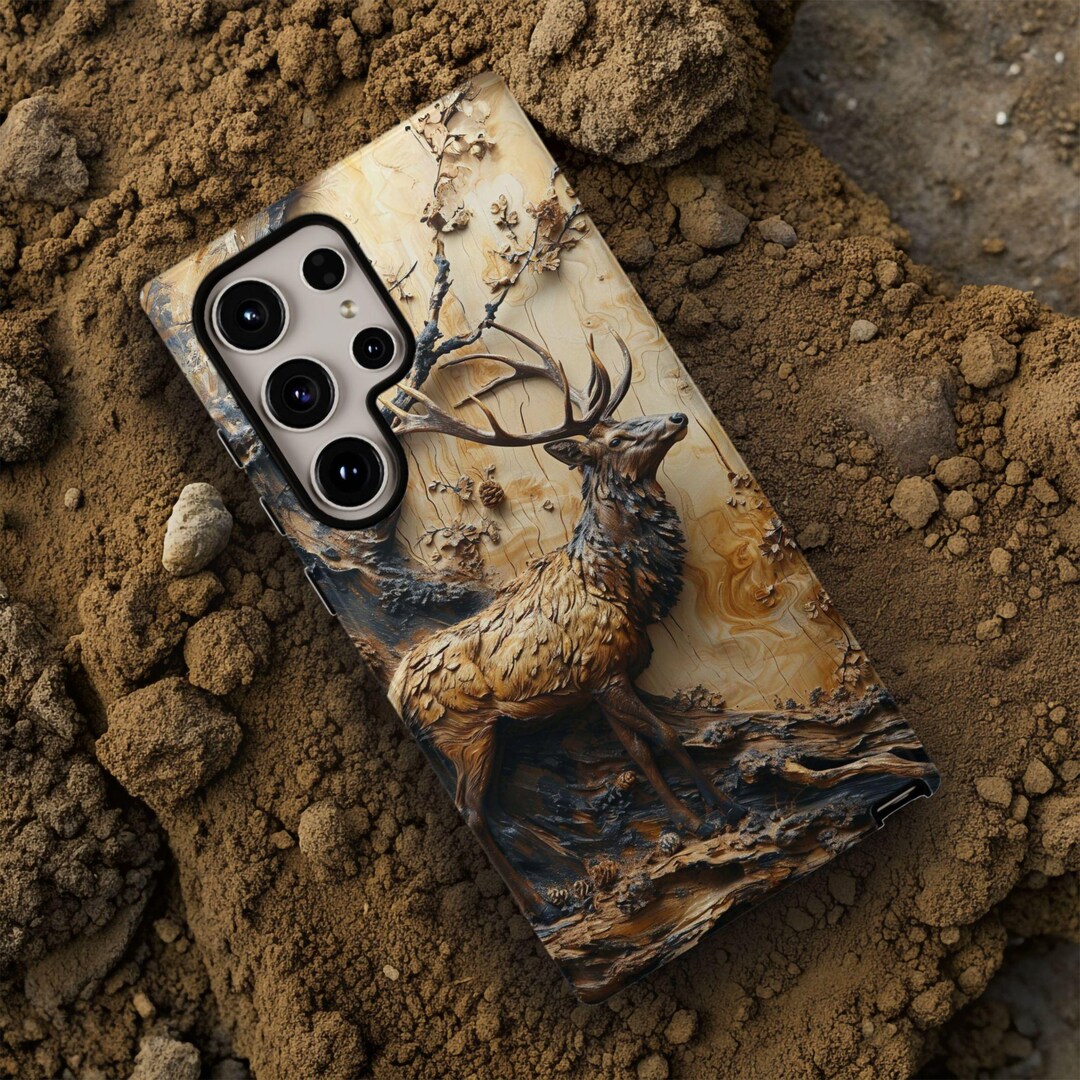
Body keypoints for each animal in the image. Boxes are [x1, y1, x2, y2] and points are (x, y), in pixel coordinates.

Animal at [385, 323, 744, 914]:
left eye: (625, 422)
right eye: (616, 440)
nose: (677, 417)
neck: (621, 584)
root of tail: (395, 693)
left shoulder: (598, 685)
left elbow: (640, 753)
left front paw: (691, 821)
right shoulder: (606, 672)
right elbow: (667, 737)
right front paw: (724, 811)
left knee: (487, 806)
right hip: (464, 732)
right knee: (471, 809)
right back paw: (538, 903)